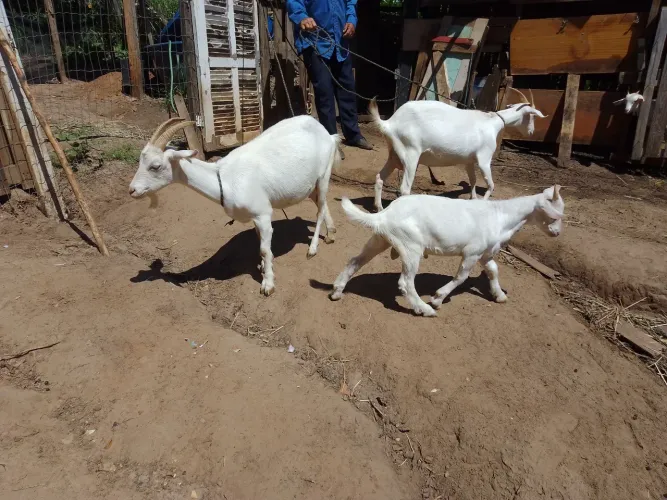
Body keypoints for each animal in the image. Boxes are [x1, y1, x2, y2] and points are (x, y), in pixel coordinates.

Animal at [129, 116, 341, 296]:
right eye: (140, 160)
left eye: (155, 166)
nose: (132, 190)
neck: (224, 179)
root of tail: (327, 133)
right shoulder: (255, 217)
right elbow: (261, 244)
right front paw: (264, 267)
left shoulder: (263, 214)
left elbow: (264, 249)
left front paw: (268, 284)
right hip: (310, 184)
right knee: (321, 203)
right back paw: (331, 233)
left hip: (324, 174)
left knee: (320, 209)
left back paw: (312, 249)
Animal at [329, 186, 564, 317]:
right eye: (555, 215)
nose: (557, 233)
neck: (500, 216)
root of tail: (384, 215)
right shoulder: (472, 252)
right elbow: (461, 277)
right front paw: (438, 298)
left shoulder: (485, 253)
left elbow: (493, 270)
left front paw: (499, 295)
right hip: (411, 246)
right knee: (405, 282)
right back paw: (424, 309)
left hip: (381, 239)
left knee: (355, 261)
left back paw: (337, 291)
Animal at [369, 89, 546, 212]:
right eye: (532, 116)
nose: (531, 132)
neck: (493, 123)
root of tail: (389, 123)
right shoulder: (484, 159)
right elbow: (491, 185)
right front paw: (483, 202)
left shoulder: (469, 161)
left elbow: (473, 180)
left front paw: (473, 199)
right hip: (410, 153)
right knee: (404, 189)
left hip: (394, 155)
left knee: (379, 177)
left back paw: (379, 208)